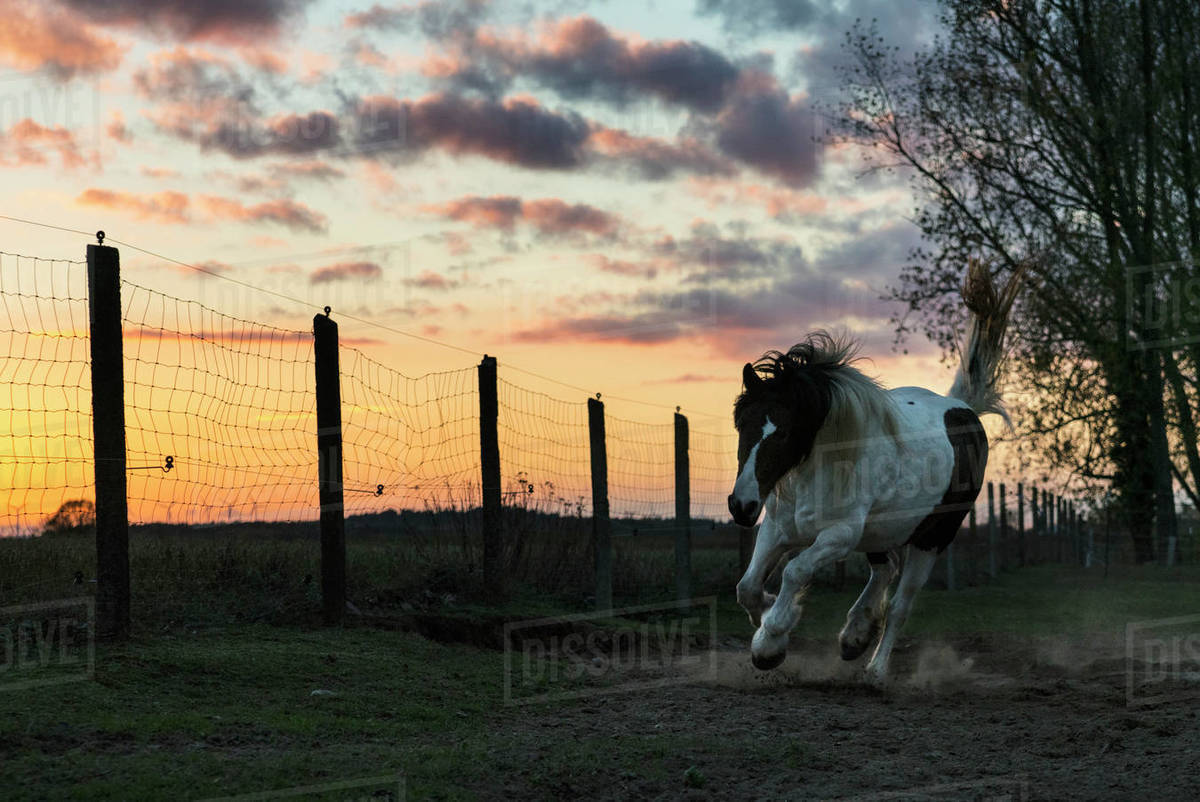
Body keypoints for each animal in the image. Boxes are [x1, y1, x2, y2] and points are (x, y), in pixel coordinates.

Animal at [727, 259, 1024, 684]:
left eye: (783, 432)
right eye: (741, 424)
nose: (741, 505)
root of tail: (963, 407)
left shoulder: (839, 535)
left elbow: (795, 572)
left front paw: (770, 644)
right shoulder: (777, 528)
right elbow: (748, 586)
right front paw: (767, 621)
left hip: (931, 539)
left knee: (900, 604)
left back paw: (876, 669)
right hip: (881, 531)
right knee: (885, 573)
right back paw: (854, 637)